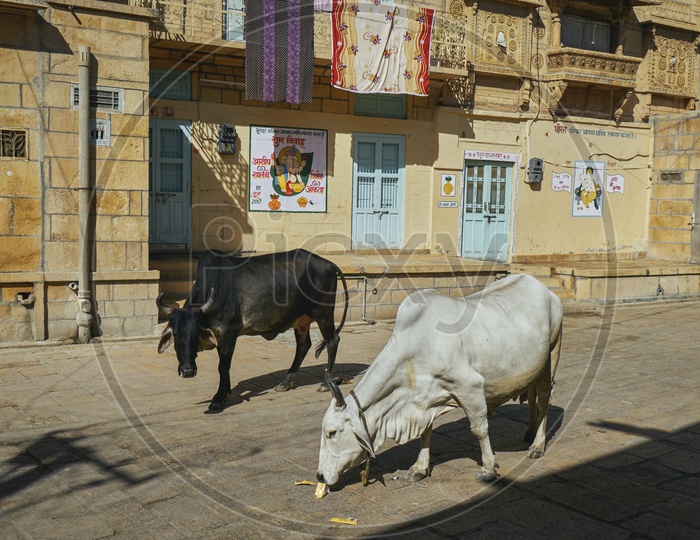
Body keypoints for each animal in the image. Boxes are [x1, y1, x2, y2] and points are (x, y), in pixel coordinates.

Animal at [156, 249, 349, 411]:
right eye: (175, 335)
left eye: (196, 334)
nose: (188, 371)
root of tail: (329, 264)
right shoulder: (219, 336)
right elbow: (224, 364)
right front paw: (226, 392)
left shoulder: (229, 332)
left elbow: (223, 366)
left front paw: (218, 398)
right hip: (301, 321)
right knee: (303, 345)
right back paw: (285, 383)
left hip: (323, 313)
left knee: (332, 340)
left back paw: (325, 384)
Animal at [316, 273, 563, 486]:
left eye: (332, 433)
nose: (320, 476)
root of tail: (544, 288)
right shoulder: (425, 398)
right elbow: (426, 431)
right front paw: (419, 468)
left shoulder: (471, 387)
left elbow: (479, 429)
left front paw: (488, 469)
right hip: (534, 367)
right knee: (532, 397)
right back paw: (530, 432)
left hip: (551, 356)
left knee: (543, 401)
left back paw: (538, 445)